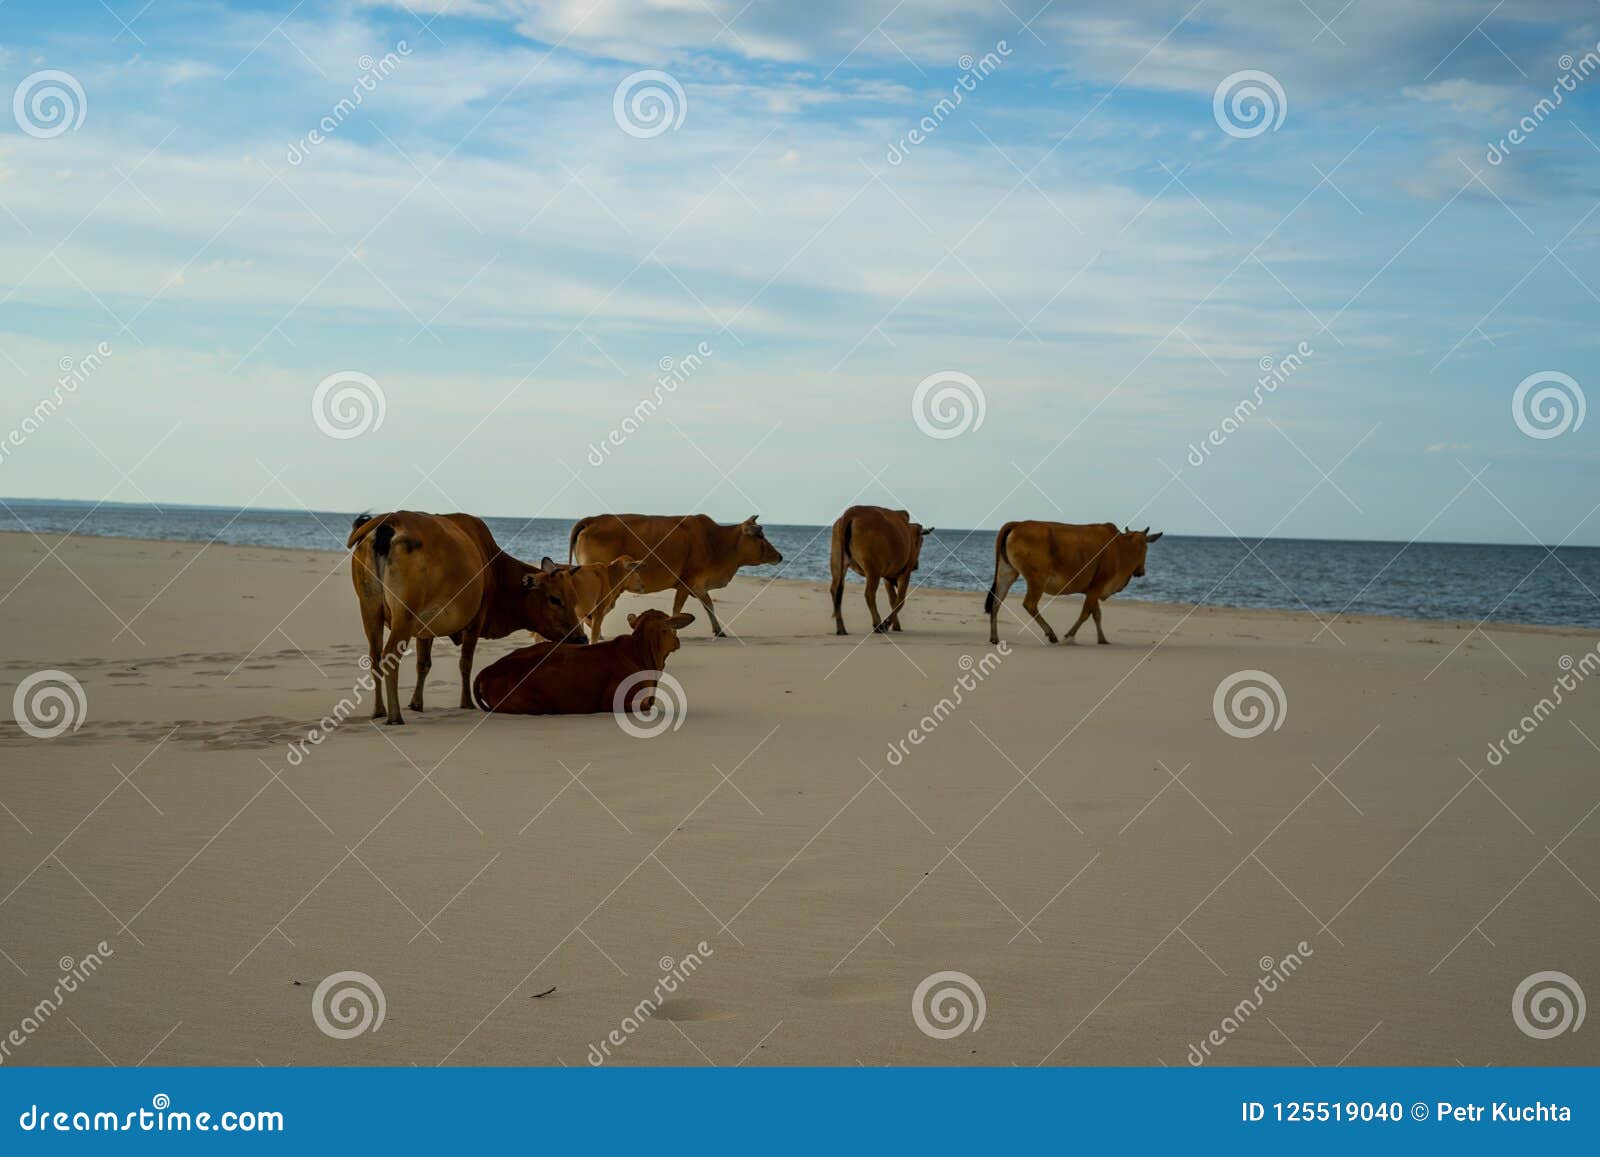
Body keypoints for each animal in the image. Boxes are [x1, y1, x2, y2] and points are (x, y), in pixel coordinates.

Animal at [348, 511, 585, 725]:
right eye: (555, 599)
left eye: (574, 598)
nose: (582, 638)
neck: (493, 567)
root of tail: (389, 522)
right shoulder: (476, 620)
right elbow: (466, 663)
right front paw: (466, 703)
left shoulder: (424, 628)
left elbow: (423, 664)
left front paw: (417, 703)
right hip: (404, 616)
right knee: (389, 656)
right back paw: (394, 716)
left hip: (369, 610)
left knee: (375, 657)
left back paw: (379, 710)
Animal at [567, 514, 783, 640]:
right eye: (759, 536)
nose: (780, 556)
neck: (716, 542)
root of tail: (593, 519)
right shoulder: (688, 583)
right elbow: (678, 608)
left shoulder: (698, 586)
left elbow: (709, 605)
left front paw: (719, 630)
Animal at [828, 505, 933, 635]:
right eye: (921, 542)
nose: (916, 565)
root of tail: (853, 511)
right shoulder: (905, 573)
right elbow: (900, 600)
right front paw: (887, 623)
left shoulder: (887, 577)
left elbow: (893, 600)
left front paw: (896, 626)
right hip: (873, 570)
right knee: (869, 594)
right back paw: (878, 625)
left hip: (838, 564)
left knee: (835, 591)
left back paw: (841, 628)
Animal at [985, 521, 1163, 646]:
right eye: (1145, 548)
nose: (1141, 572)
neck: (1120, 547)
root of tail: (1018, 523)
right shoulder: (1098, 585)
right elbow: (1085, 613)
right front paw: (1069, 635)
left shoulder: (1093, 589)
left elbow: (1096, 615)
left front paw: (1102, 639)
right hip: (1037, 580)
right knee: (1029, 604)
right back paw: (1051, 634)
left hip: (1007, 573)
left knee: (996, 602)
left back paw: (994, 637)